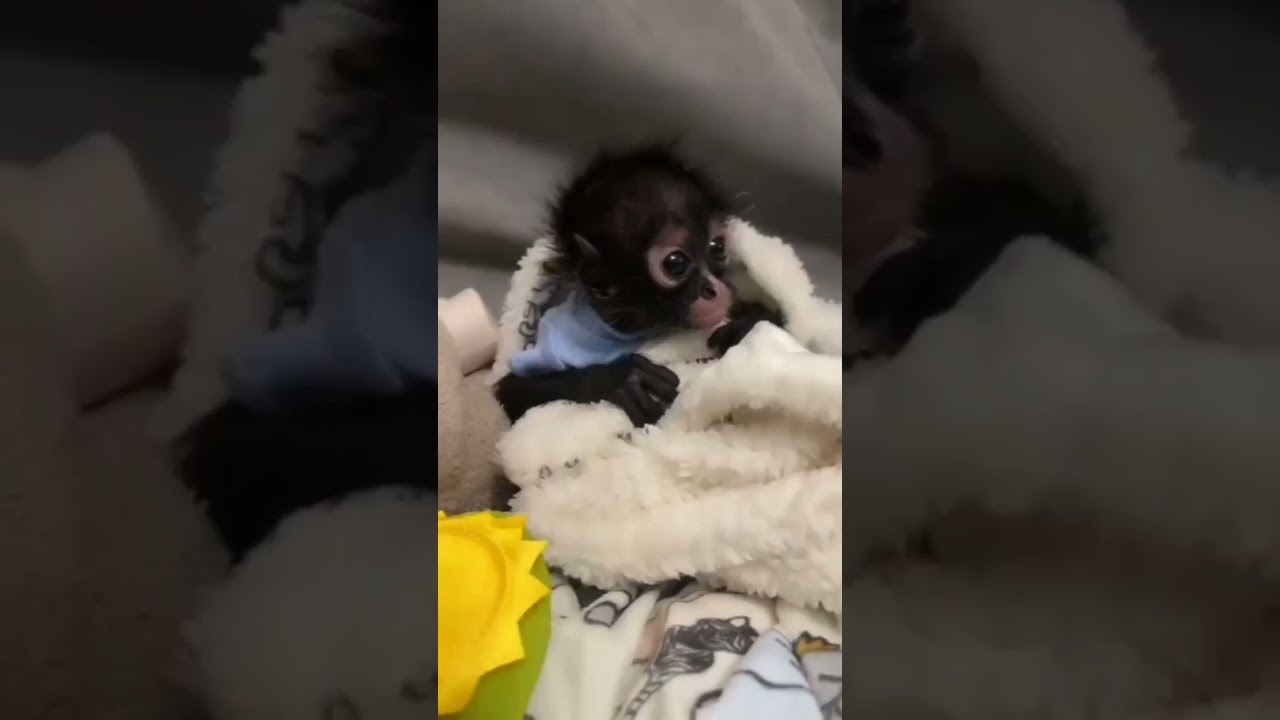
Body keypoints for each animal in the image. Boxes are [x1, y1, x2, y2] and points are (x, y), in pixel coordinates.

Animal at [494, 143, 781, 428]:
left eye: (717, 246)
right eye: (675, 263)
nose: (714, 290)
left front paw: (747, 325)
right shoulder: (557, 331)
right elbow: (507, 394)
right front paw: (620, 380)